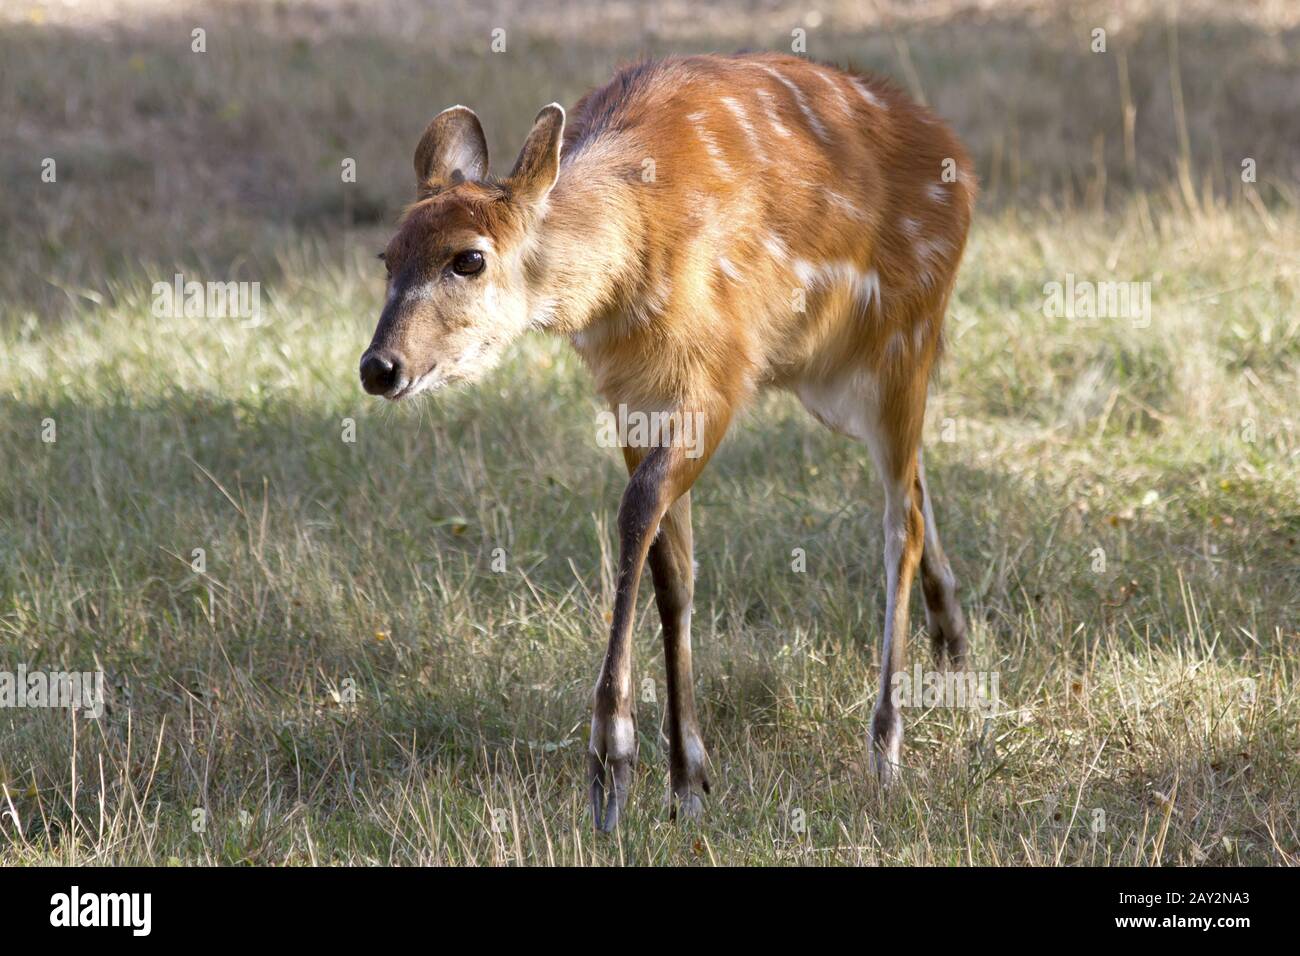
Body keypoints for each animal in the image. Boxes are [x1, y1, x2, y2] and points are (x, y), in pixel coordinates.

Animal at [360, 53, 975, 831]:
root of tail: (960, 160)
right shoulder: (633, 397)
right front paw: (687, 778)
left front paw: (612, 769)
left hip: (905, 335)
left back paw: (886, 748)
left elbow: (637, 512)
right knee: (916, 481)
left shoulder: (720, 371)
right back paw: (952, 638)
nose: (379, 366)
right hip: (829, 380)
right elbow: (670, 567)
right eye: (388, 256)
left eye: (468, 259)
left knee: (902, 521)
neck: (631, 263)